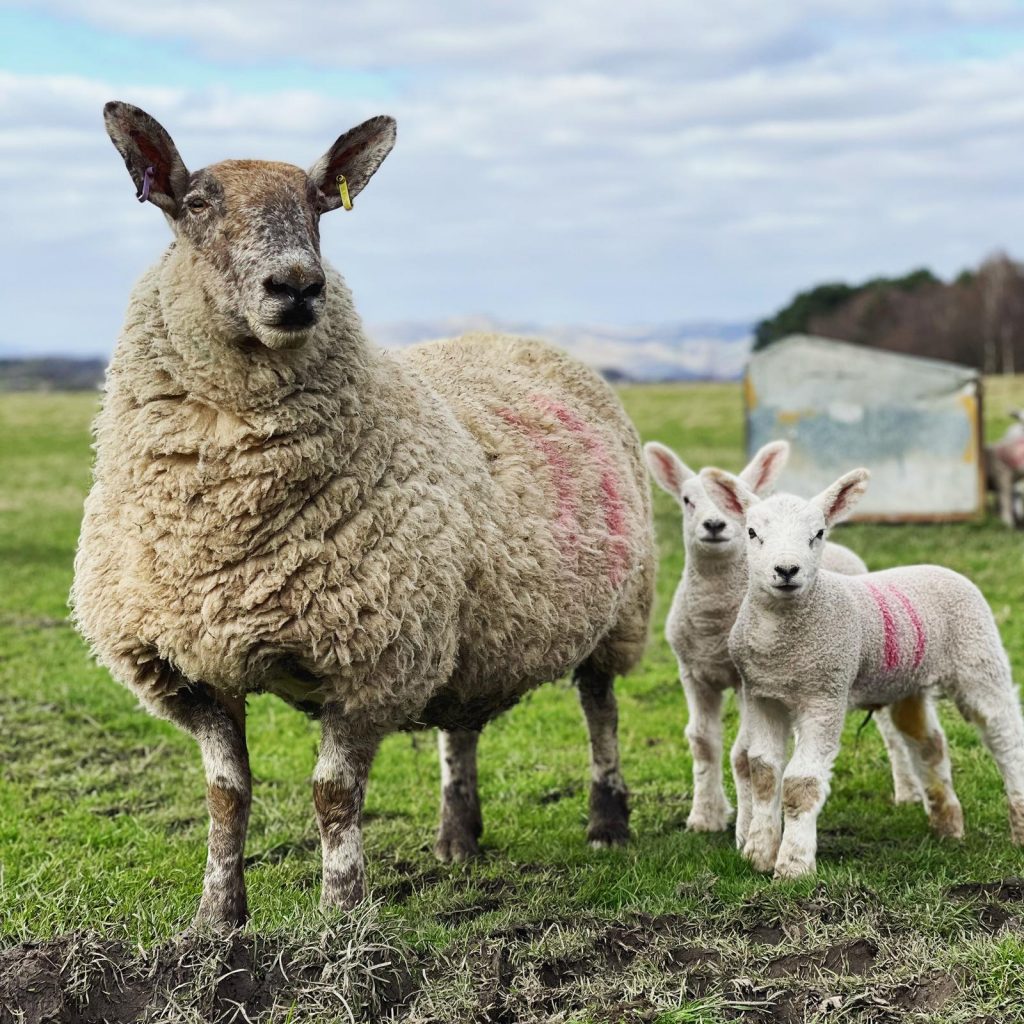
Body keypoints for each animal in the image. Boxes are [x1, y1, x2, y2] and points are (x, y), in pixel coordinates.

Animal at [71, 102, 655, 931]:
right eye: (196, 203)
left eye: (319, 207)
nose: (297, 286)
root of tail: (515, 338)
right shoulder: (184, 666)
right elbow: (225, 795)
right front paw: (216, 917)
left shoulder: (371, 658)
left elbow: (333, 794)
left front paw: (342, 913)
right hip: (465, 628)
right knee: (460, 726)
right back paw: (456, 836)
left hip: (617, 613)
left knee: (599, 708)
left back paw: (607, 822)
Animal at [643, 441, 925, 842]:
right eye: (686, 500)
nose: (714, 525)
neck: (714, 624)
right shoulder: (694, 673)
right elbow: (702, 741)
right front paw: (705, 816)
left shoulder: (746, 683)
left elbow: (742, 754)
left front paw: (745, 829)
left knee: (888, 727)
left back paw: (908, 790)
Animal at [700, 464, 1024, 879]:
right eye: (752, 533)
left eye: (818, 534)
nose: (786, 570)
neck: (783, 644)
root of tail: (943, 569)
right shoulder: (762, 695)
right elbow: (764, 773)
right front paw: (757, 855)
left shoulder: (825, 692)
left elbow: (801, 782)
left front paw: (793, 867)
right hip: (906, 682)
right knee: (929, 742)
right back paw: (948, 824)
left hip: (979, 660)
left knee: (1005, 738)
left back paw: (1018, 825)